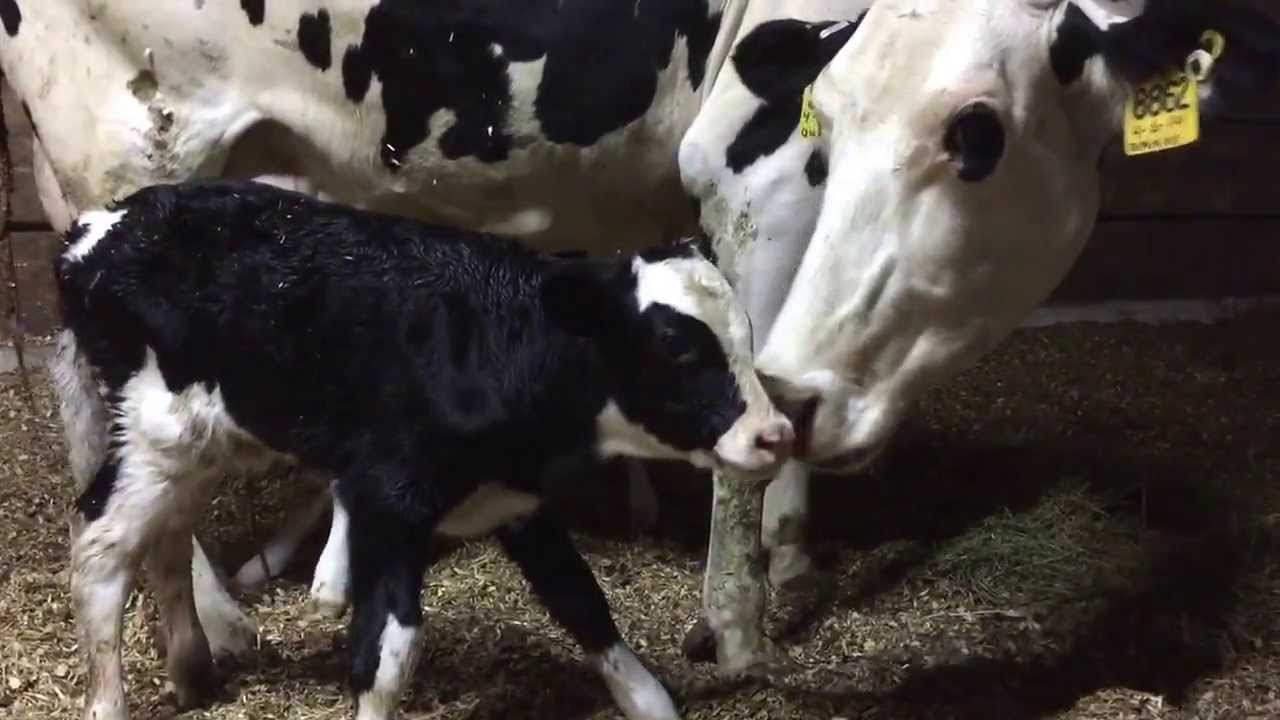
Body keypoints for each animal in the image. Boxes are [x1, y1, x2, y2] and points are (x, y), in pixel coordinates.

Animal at [52, 178, 793, 720]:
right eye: (677, 348)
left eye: (746, 334)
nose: (775, 435)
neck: (495, 344)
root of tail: (97, 229)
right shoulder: (389, 502)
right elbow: (387, 651)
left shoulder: (515, 501)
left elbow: (584, 604)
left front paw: (649, 702)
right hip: (158, 432)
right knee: (101, 547)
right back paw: (111, 702)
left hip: (209, 443)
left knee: (168, 536)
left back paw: (192, 670)